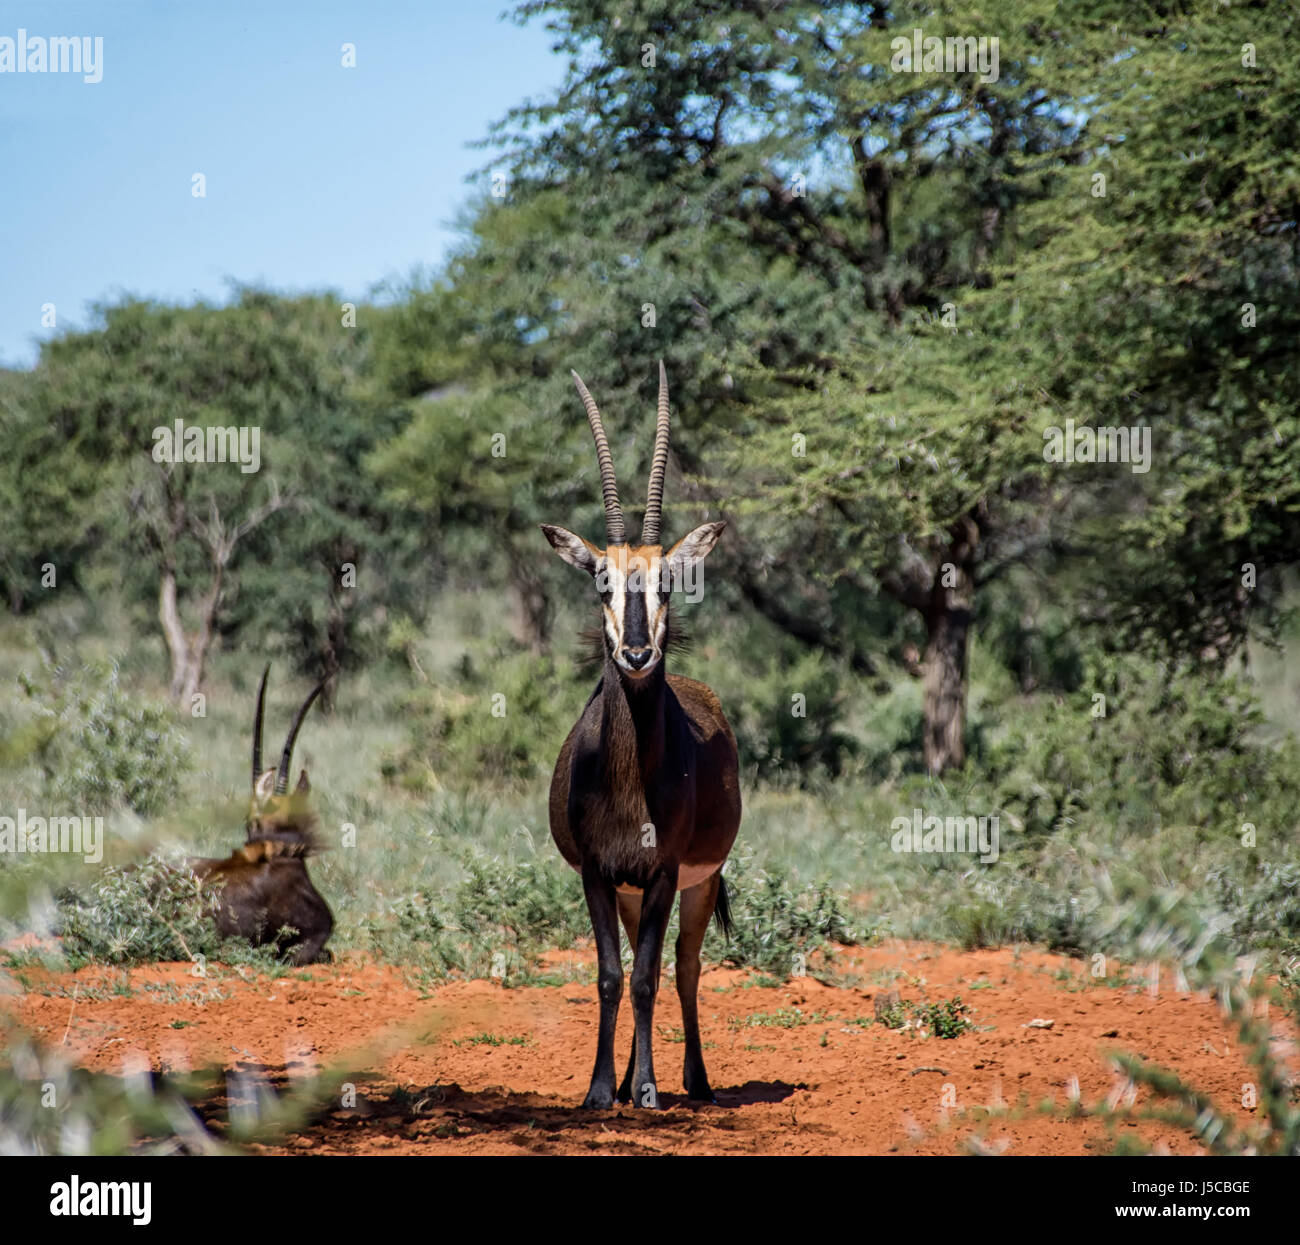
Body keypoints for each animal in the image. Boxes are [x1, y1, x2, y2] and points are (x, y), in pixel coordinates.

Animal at [542, 362, 741, 1109]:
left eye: (668, 582)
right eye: (603, 579)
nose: (635, 654)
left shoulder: (662, 873)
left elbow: (651, 977)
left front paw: (650, 1089)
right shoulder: (600, 875)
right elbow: (609, 975)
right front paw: (604, 1089)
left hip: (696, 884)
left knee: (683, 967)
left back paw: (695, 1082)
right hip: (632, 892)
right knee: (636, 967)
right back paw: (629, 1079)